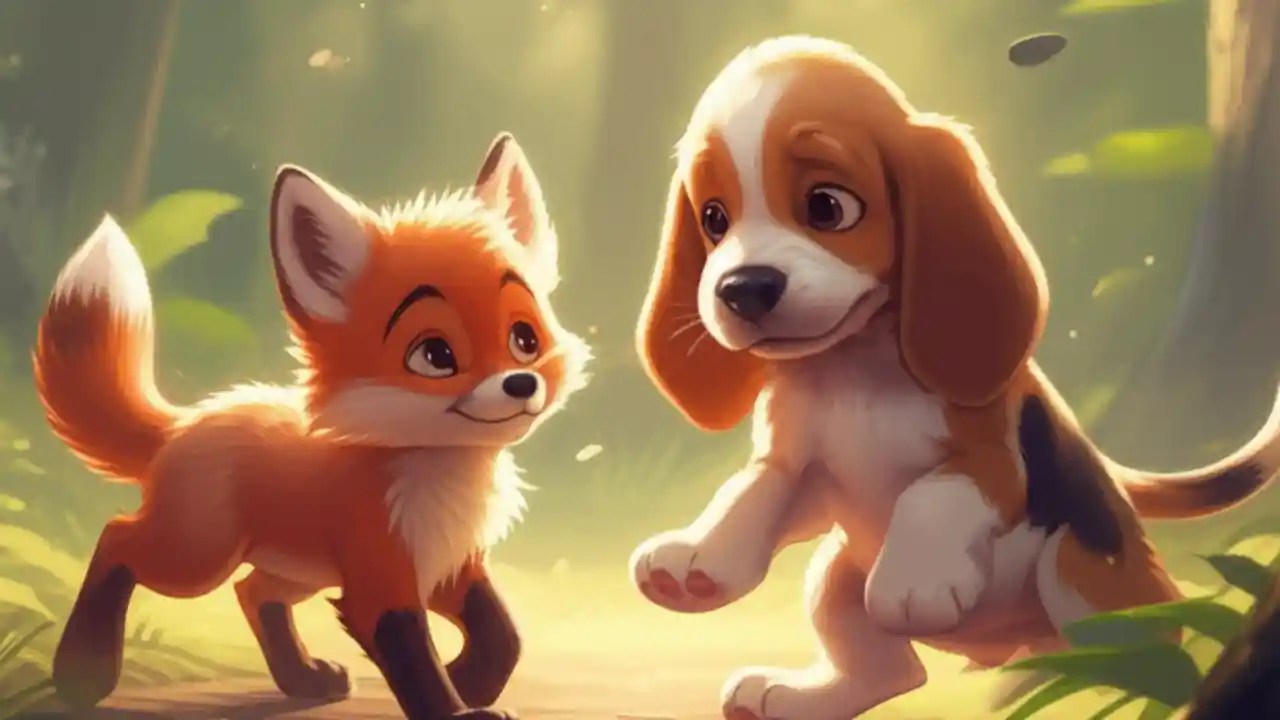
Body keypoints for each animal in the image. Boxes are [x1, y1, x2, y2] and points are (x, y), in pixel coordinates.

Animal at [33, 133, 590, 720]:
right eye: (435, 356)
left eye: (525, 339)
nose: (522, 383)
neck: (437, 475)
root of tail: (185, 422)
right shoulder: (381, 576)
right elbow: (414, 654)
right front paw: (458, 707)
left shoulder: (446, 563)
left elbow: (504, 634)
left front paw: (470, 678)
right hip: (196, 557)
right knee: (117, 540)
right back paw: (84, 672)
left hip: (295, 569)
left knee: (254, 594)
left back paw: (303, 678)